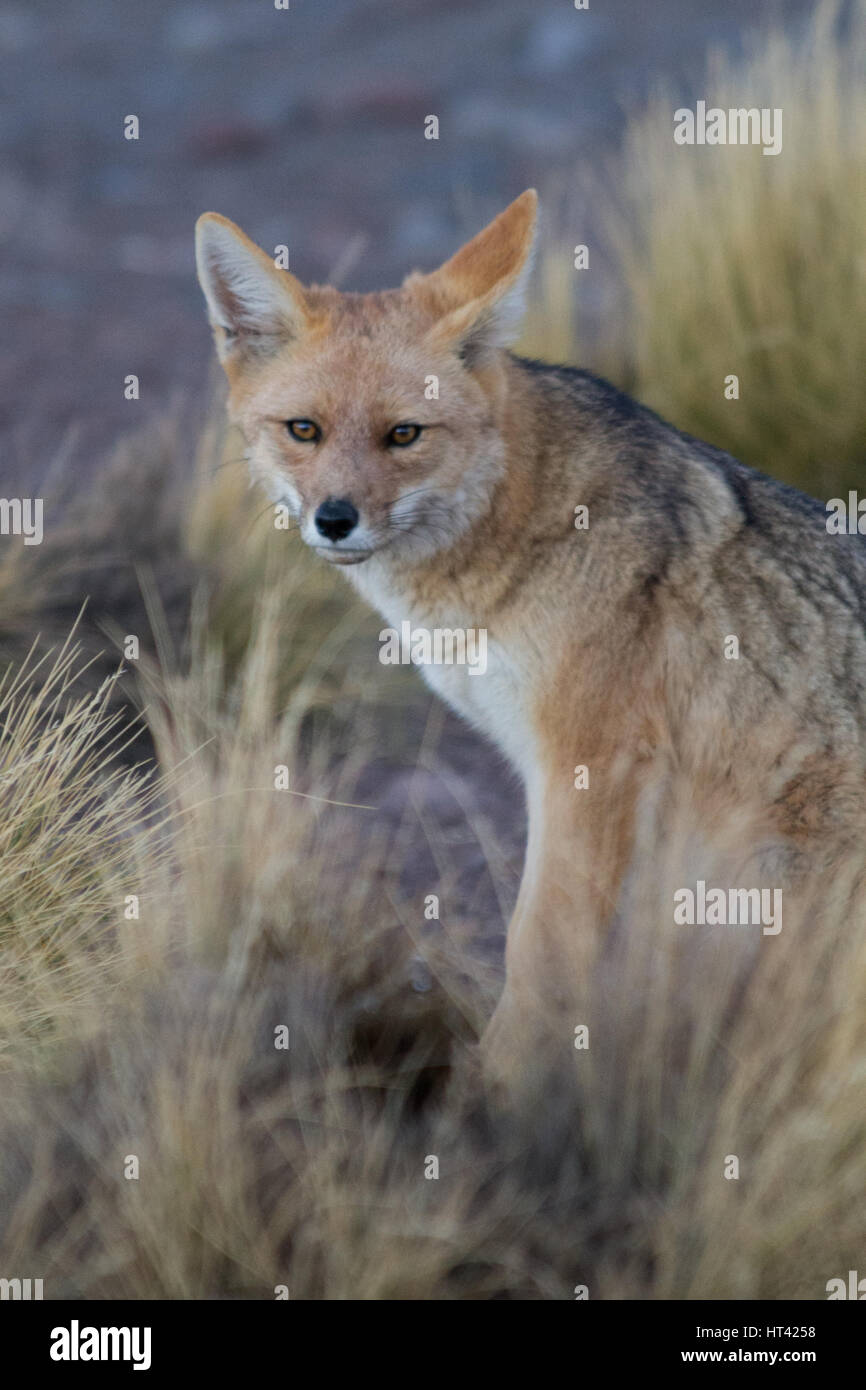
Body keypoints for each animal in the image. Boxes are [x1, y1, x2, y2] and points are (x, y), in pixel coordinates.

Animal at [195, 190, 866, 1062]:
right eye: (303, 429)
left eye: (403, 435)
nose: (334, 520)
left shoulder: (587, 764)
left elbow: (542, 951)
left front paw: (498, 1083)